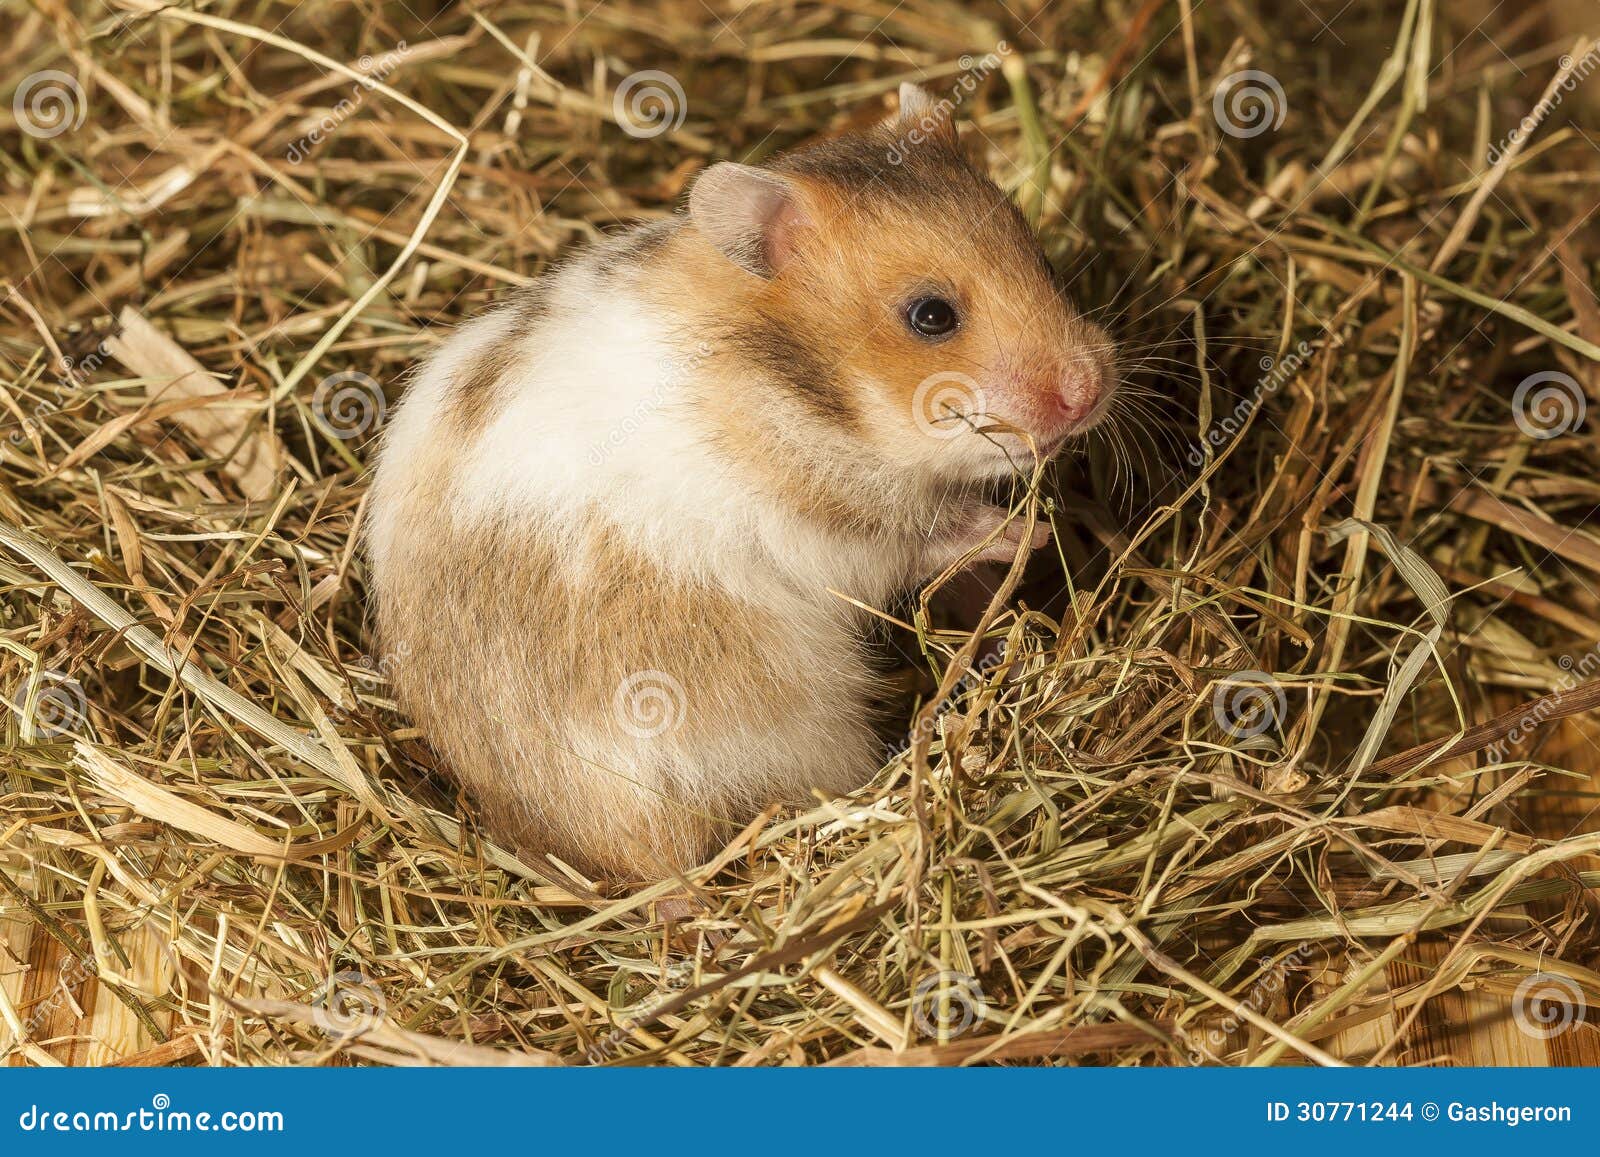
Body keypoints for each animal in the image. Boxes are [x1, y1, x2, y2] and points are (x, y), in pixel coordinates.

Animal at [364, 84, 1116, 879]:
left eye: (1040, 255)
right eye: (931, 315)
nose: (1092, 390)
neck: (797, 385)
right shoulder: (834, 528)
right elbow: (930, 533)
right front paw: (1030, 532)